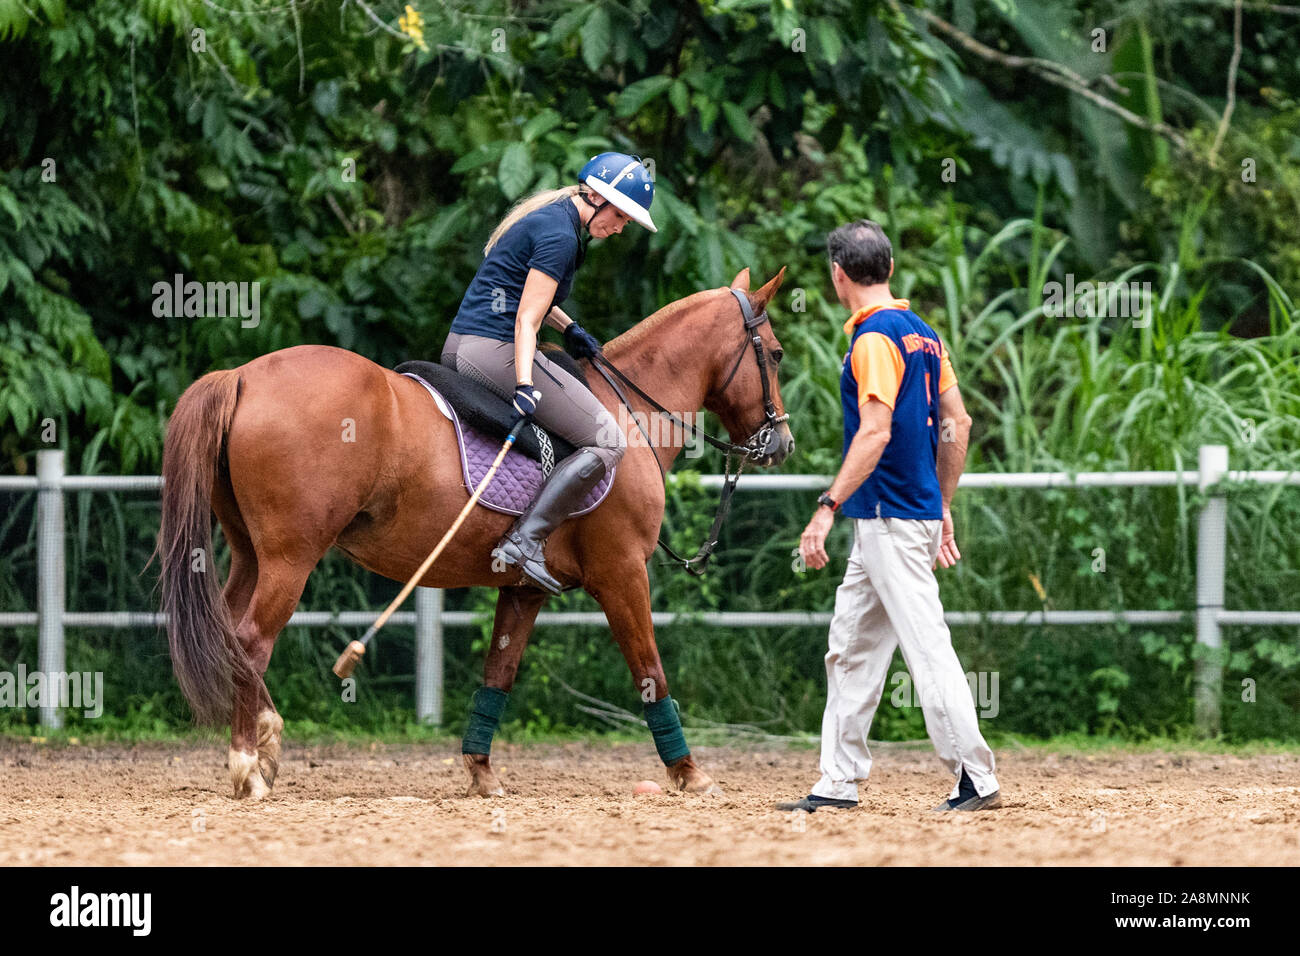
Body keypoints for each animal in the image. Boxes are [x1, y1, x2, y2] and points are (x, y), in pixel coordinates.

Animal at [155, 267, 793, 799]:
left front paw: (481, 773)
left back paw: (265, 739)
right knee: (249, 641)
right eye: (777, 354)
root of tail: (242, 376)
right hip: (291, 558)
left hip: (250, 554)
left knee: (228, 634)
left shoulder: (524, 589)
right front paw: (689, 772)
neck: (630, 412)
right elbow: (651, 673)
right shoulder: (622, 574)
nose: (781, 443)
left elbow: (498, 676)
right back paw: (247, 766)